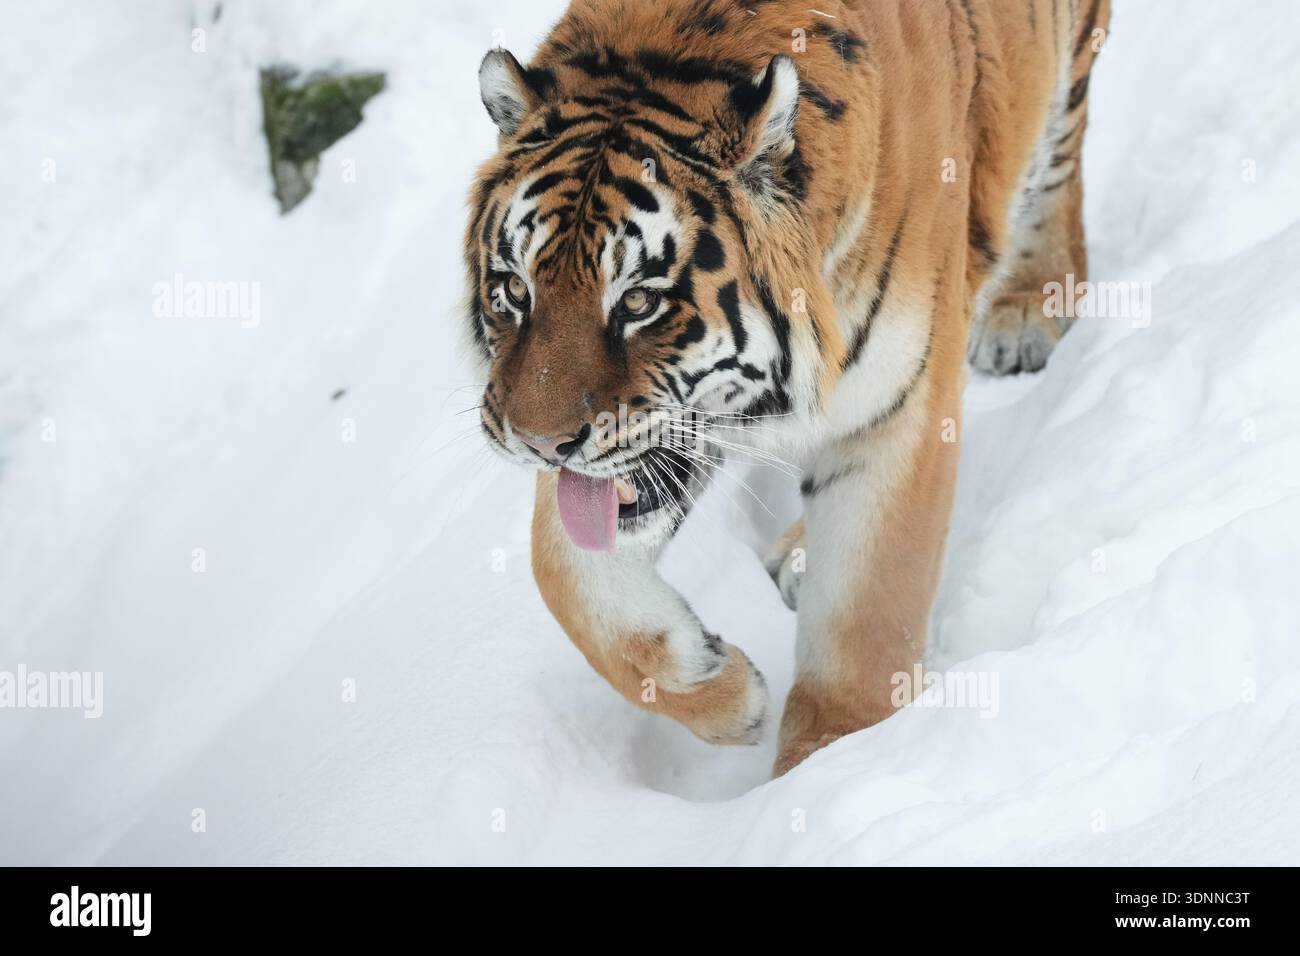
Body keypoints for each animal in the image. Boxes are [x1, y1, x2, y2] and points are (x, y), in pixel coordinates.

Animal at [464, 0, 1111, 775]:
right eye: (513, 289)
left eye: (640, 301)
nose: (539, 443)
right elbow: (564, 574)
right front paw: (720, 686)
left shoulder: (898, 410)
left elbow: (866, 613)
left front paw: (832, 771)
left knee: (1061, 158)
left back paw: (1028, 308)